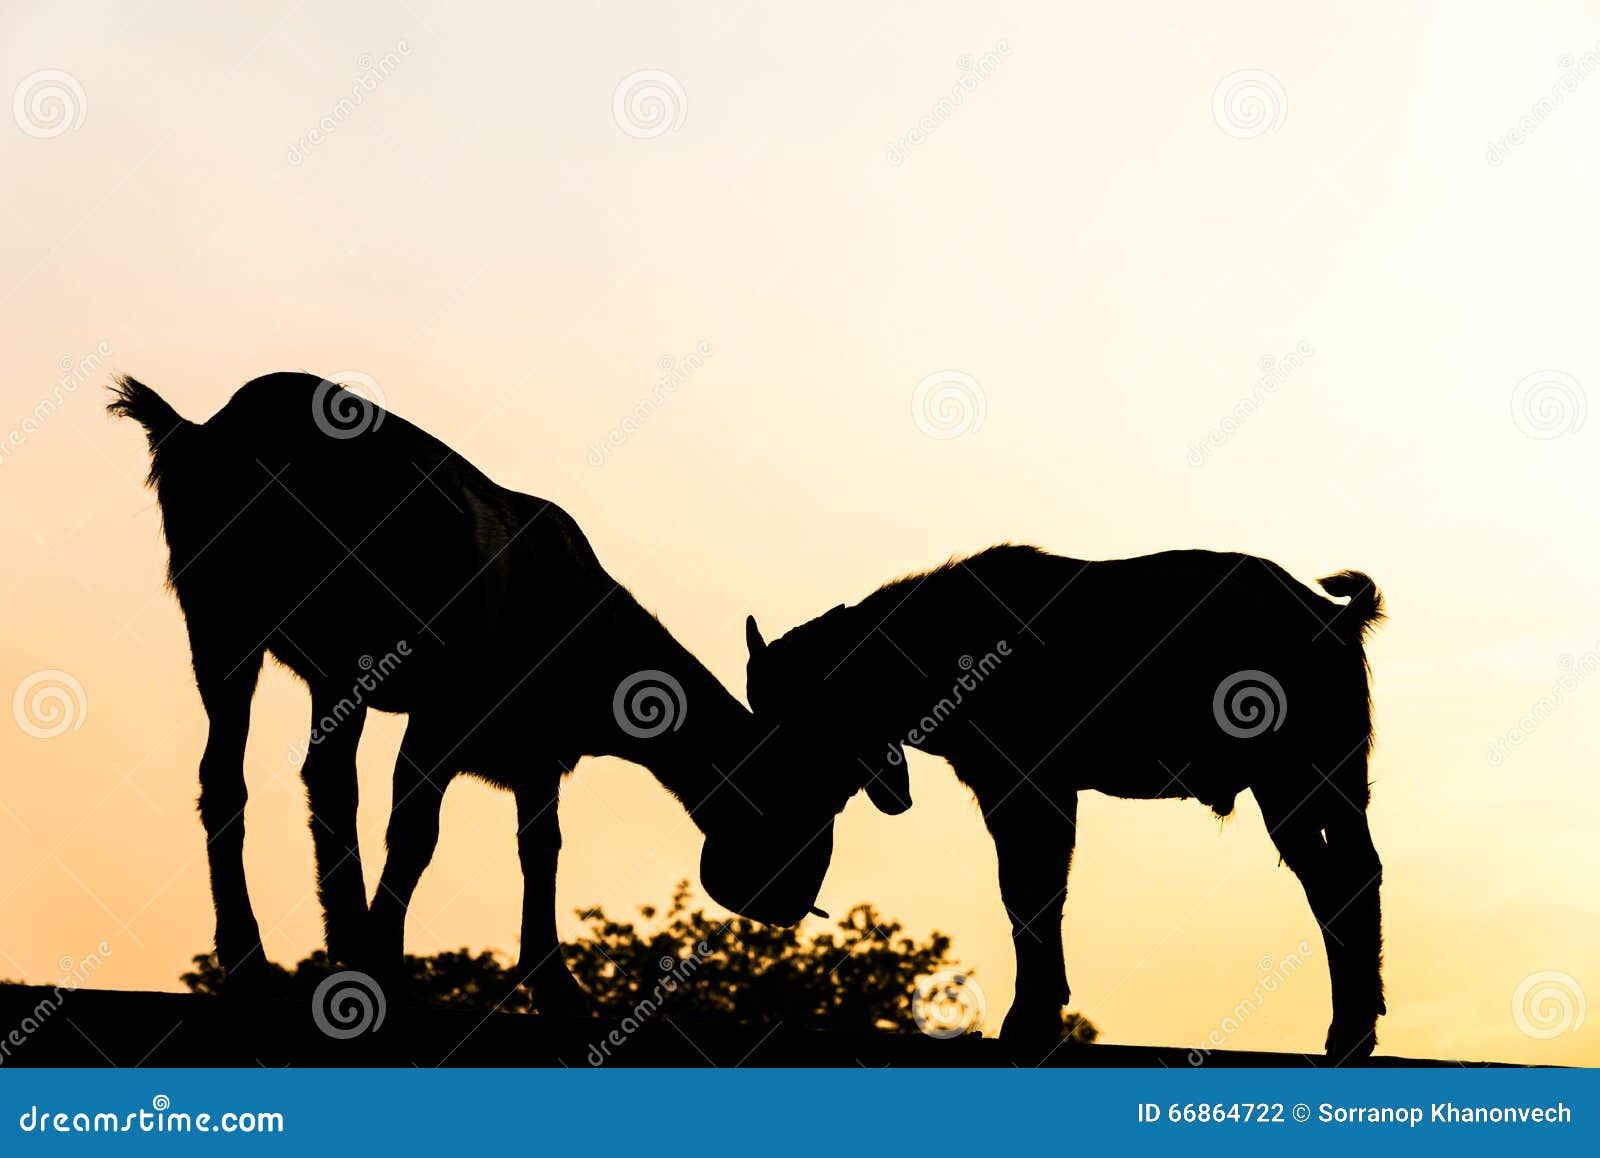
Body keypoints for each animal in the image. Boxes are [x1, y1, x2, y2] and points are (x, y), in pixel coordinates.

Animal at [110, 372, 829, 1005]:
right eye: (789, 785)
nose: (793, 899)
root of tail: (207, 432)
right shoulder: (446, 712)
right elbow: (417, 830)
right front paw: (387, 964)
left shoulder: (536, 753)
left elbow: (541, 847)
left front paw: (552, 981)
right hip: (321, 642)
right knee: (324, 783)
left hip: (229, 631)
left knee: (246, 777)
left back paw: (258, 959)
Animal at [745, 544, 1385, 1058]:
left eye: (792, 719)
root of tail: (1336, 617)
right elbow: (1028, 893)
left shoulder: (1029, 788)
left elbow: (1031, 894)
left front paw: (1029, 1022)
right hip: (1315, 789)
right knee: (1343, 881)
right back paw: (1354, 1030)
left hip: (1297, 780)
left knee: (1346, 880)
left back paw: (1350, 1031)